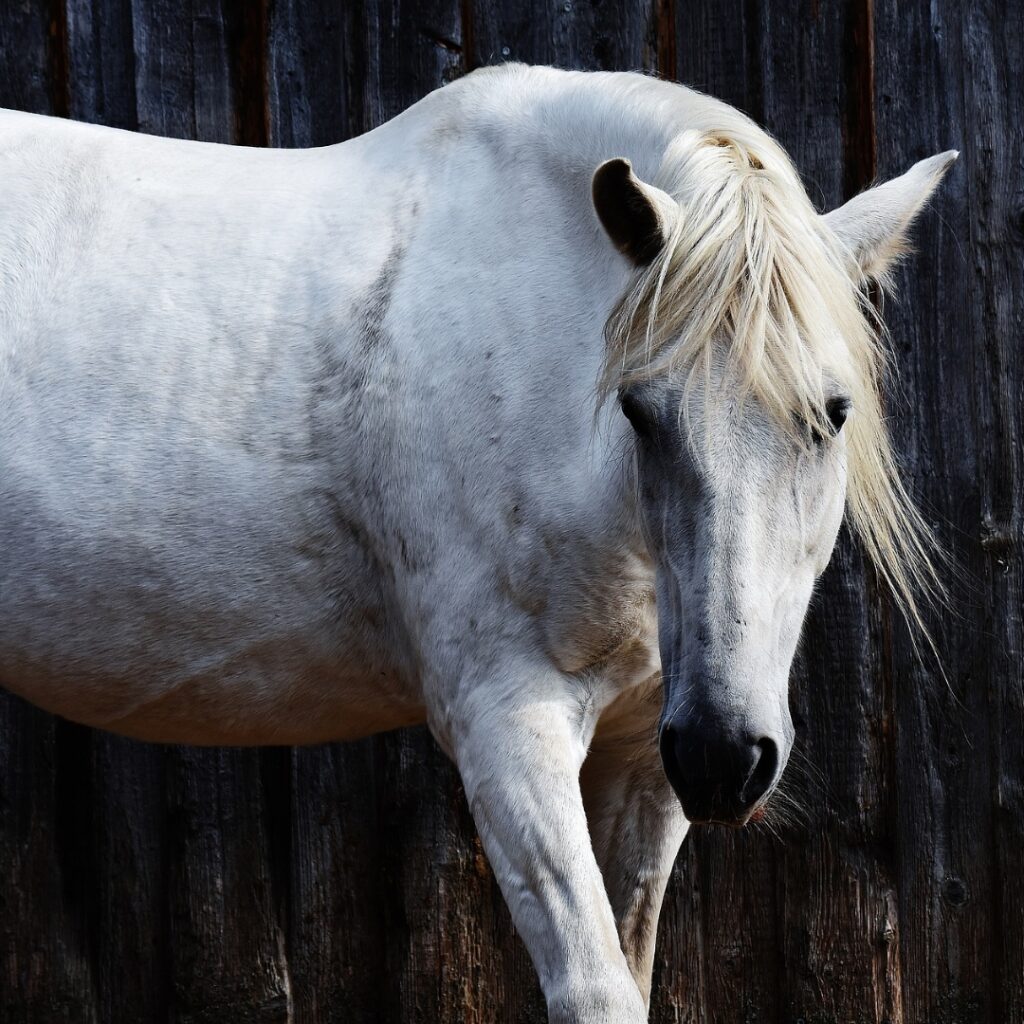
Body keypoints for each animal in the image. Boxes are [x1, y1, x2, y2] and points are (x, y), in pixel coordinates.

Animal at [0, 64, 955, 1022]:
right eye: (639, 412)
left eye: (832, 415)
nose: (725, 756)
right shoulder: (507, 727)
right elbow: (595, 987)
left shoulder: (647, 760)